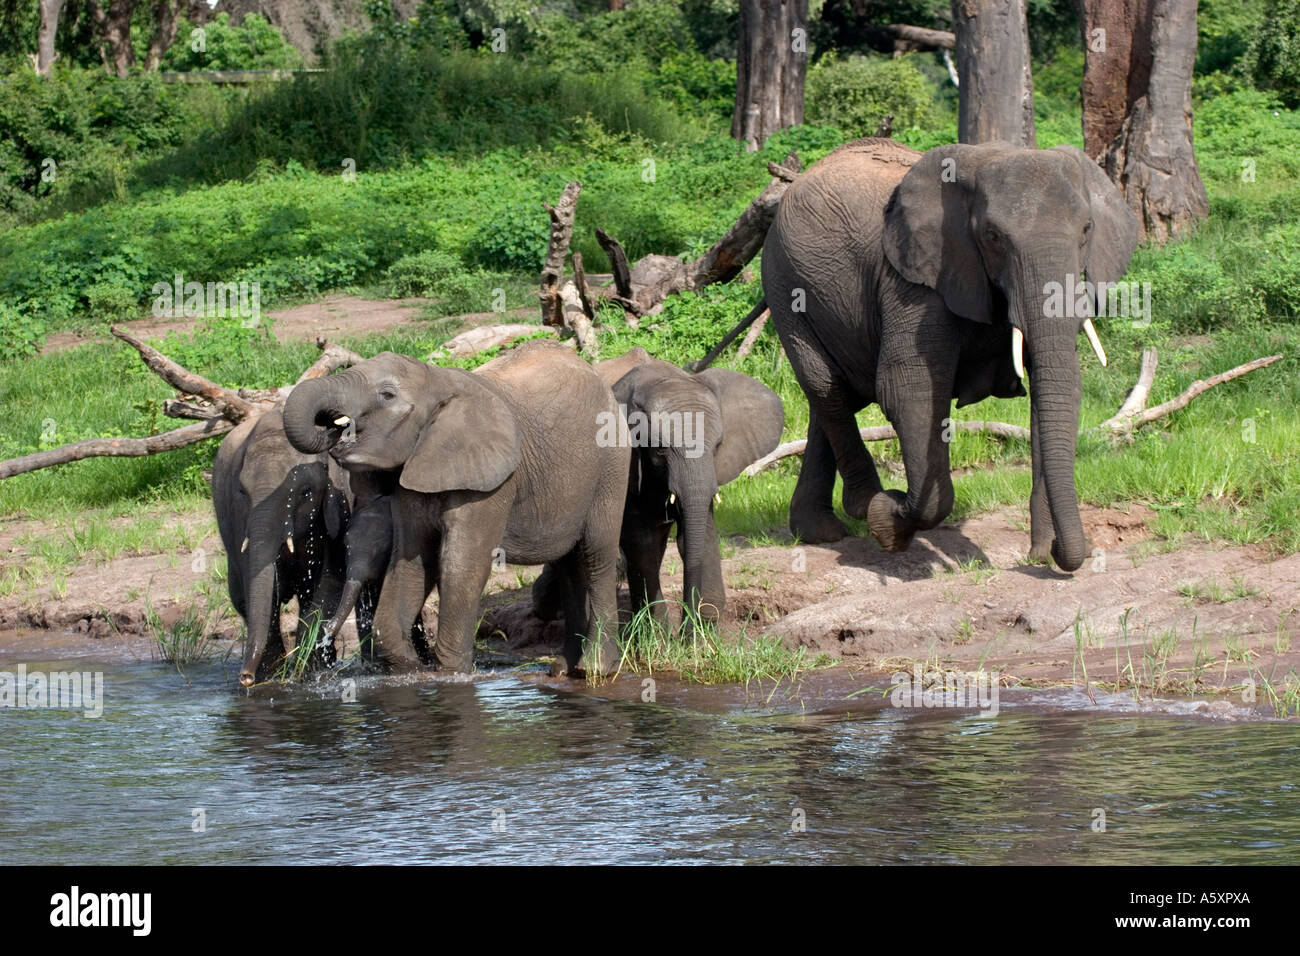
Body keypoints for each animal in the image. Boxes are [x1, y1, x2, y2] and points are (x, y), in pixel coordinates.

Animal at [212, 409, 350, 687]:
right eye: (242, 492)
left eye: (305, 493)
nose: (245, 678)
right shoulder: (238, 516)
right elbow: (263, 590)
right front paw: (273, 677)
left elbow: (328, 584)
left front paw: (305, 674)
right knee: (241, 597)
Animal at [280, 340, 629, 677]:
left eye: (387, 394)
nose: (331, 426)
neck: (438, 380)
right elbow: (410, 561)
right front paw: (411, 668)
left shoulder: (490, 484)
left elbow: (461, 564)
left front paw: (451, 674)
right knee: (568, 563)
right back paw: (563, 669)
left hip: (611, 465)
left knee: (596, 555)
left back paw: (595, 669)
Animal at [533, 347, 784, 629]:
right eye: (661, 448)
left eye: (718, 445)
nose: (687, 629)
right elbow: (640, 540)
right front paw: (658, 631)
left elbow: (699, 530)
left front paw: (705, 623)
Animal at [703, 138, 1138, 571]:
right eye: (993, 236)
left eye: (1086, 230)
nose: (1058, 555)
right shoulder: (912, 282)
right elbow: (909, 392)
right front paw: (887, 522)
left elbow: (1054, 392)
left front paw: (1040, 556)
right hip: (783, 282)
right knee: (827, 387)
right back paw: (861, 507)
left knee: (830, 398)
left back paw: (820, 532)